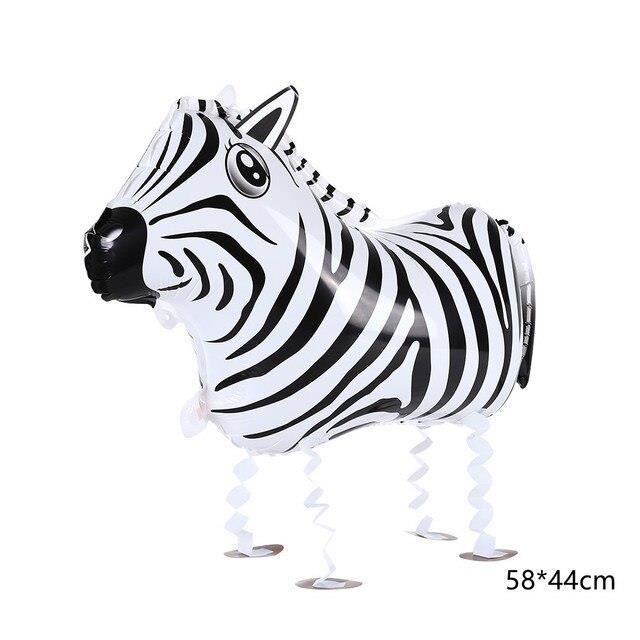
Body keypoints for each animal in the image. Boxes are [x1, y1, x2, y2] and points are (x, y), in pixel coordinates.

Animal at [84, 85, 535, 582]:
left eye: (250, 171)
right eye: (143, 156)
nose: (104, 247)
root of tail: (477, 212)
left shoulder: (321, 434)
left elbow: (322, 511)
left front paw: (329, 580)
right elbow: (243, 490)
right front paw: (249, 550)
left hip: (481, 404)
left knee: (478, 461)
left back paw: (485, 548)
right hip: (434, 401)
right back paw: (429, 531)